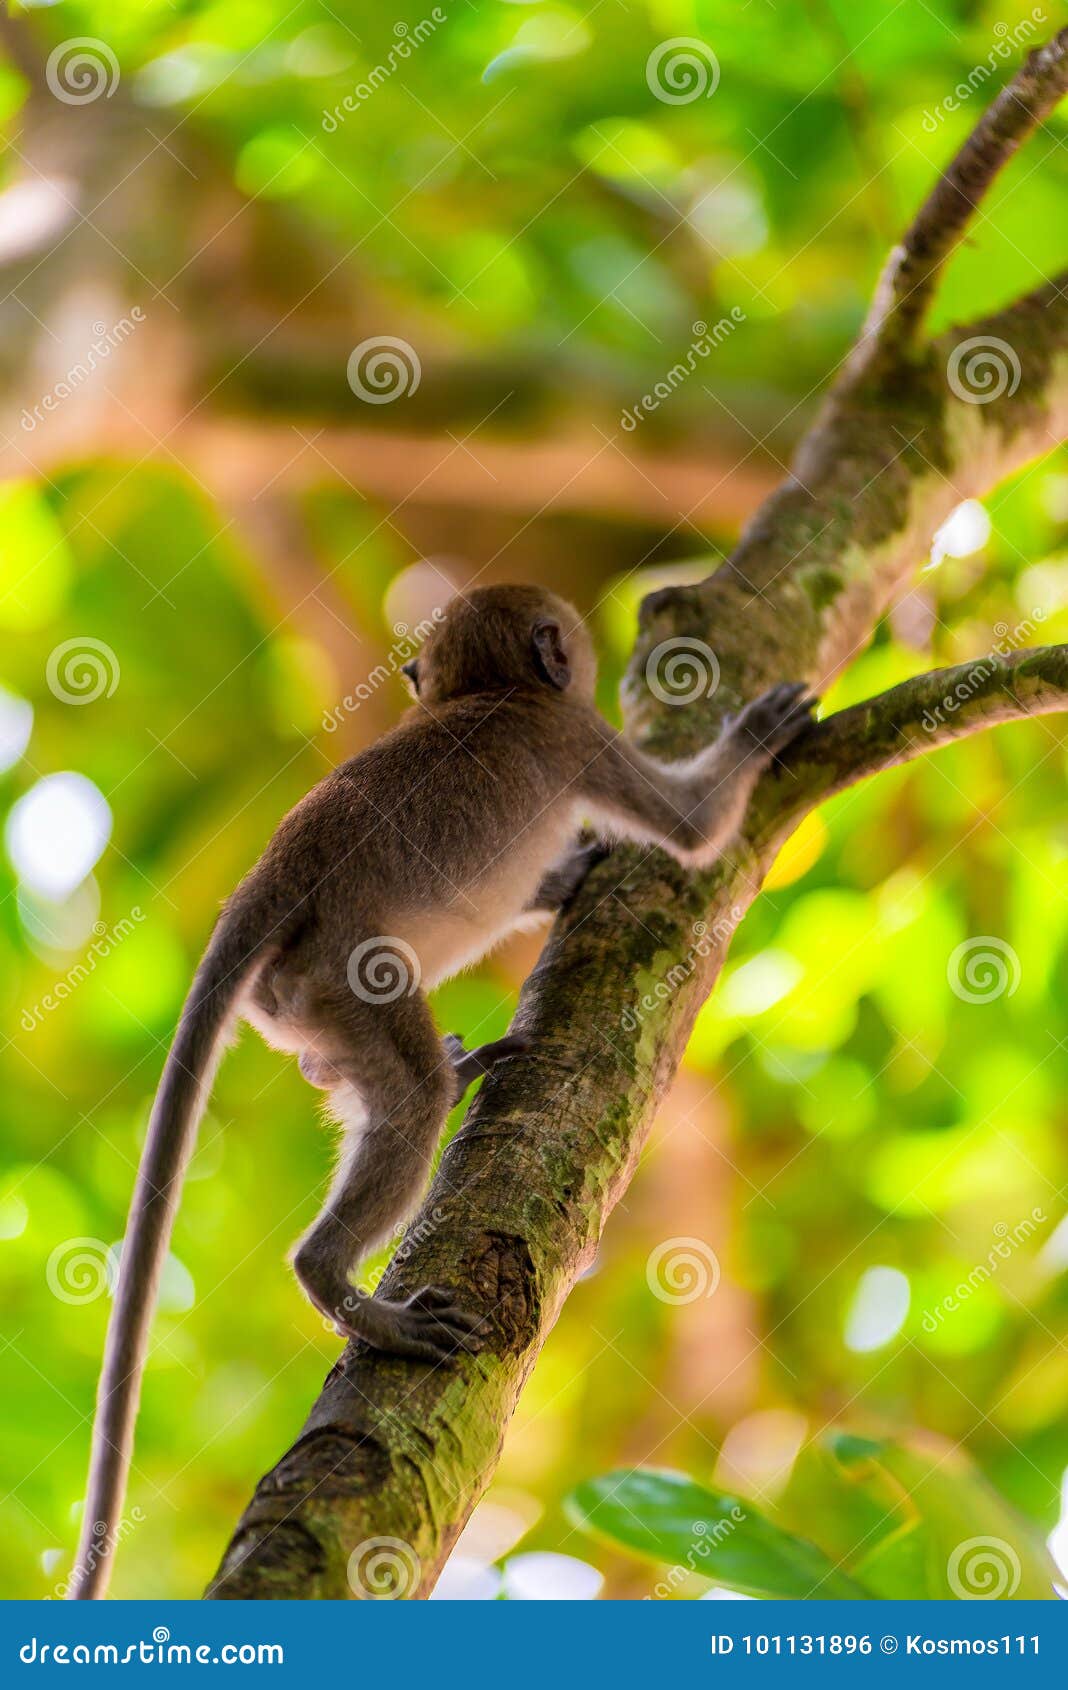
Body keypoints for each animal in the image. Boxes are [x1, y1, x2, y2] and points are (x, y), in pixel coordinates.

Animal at [69, 582, 816, 1598]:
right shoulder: (573, 732)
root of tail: (272, 874)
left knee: (361, 1079)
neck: (488, 691)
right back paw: (344, 1283)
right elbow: (693, 828)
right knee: (412, 1099)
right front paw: (756, 734)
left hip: (303, 1006)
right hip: (348, 977)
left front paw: (564, 876)